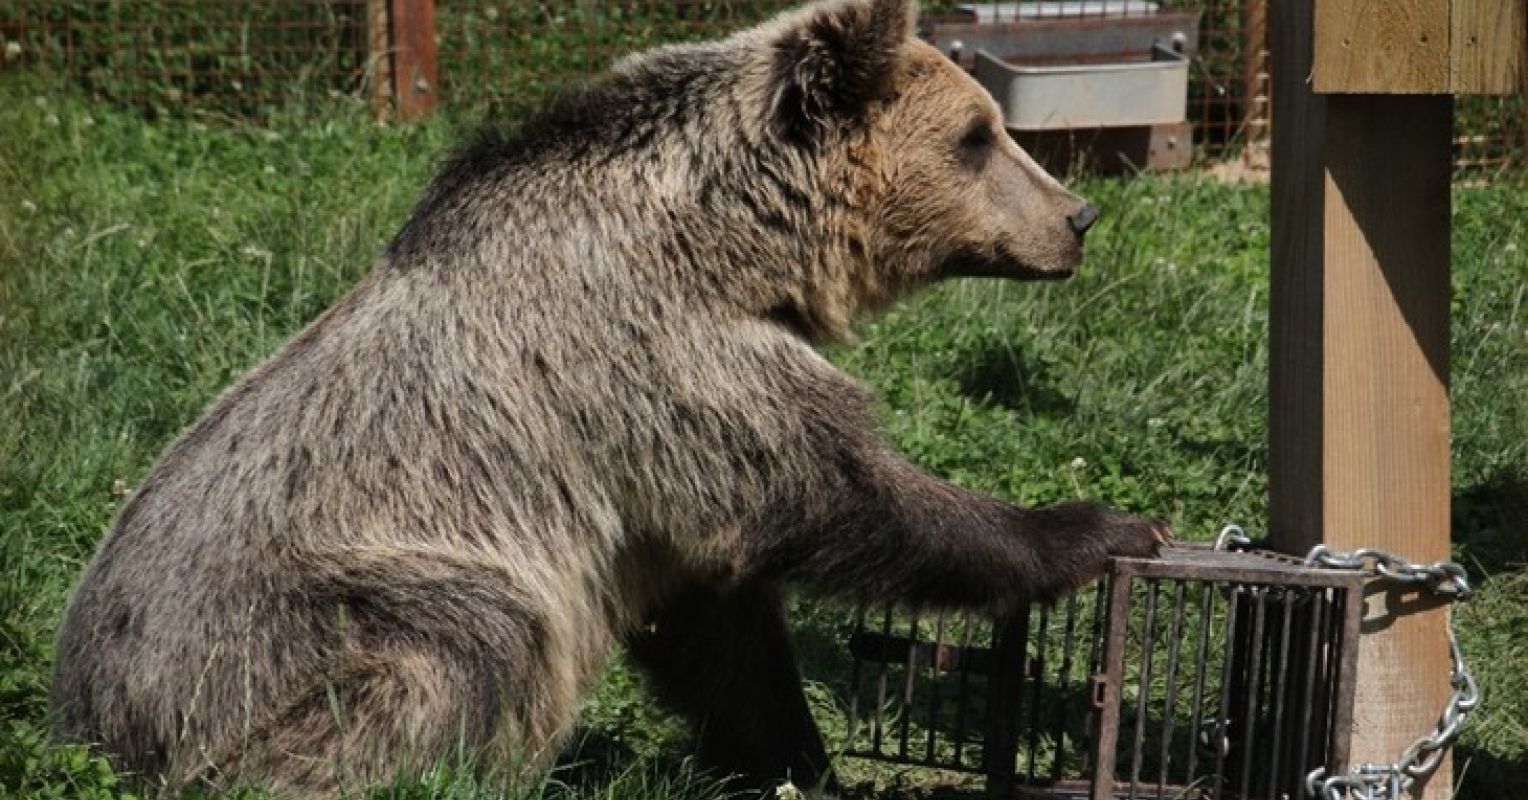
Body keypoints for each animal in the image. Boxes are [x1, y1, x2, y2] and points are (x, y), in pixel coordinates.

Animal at [49, 0, 1168, 797]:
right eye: (978, 135)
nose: (1078, 215)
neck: (729, 248)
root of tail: (91, 718)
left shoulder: (663, 473)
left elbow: (724, 633)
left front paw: (795, 763)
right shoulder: (655, 359)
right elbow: (840, 490)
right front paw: (1099, 526)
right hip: (292, 635)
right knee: (471, 639)